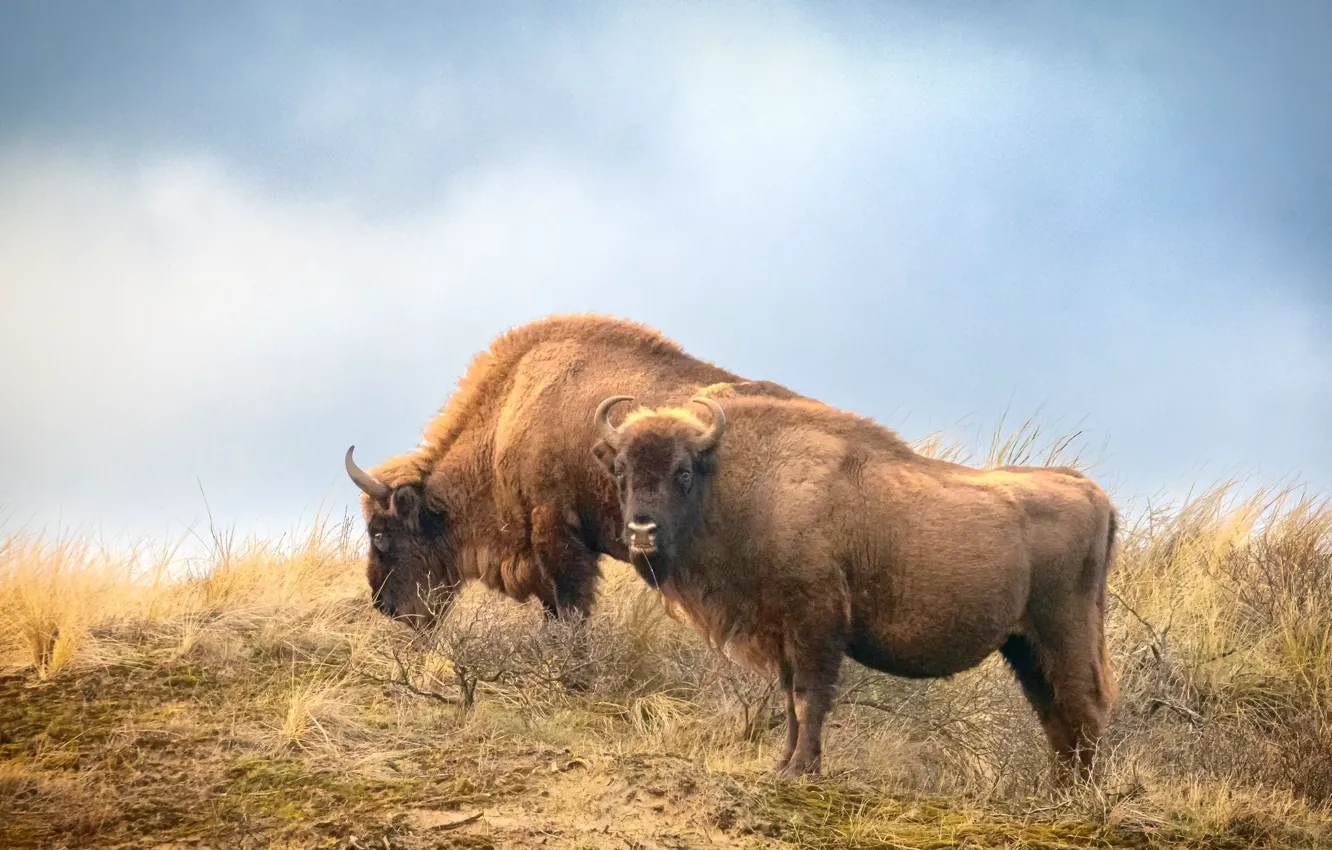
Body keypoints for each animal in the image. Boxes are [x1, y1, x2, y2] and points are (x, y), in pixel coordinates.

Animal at [591, 394, 1118, 780]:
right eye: (620, 470)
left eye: (682, 471)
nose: (641, 533)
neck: (740, 482)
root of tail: (1093, 493)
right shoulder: (784, 635)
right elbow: (790, 700)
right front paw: (783, 764)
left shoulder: (815, 627)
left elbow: (809, 697)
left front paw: (800, 769)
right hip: (1024, 645)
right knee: (1056, 713)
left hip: (1063, 631)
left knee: (1083, 706)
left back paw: (1079, 799)